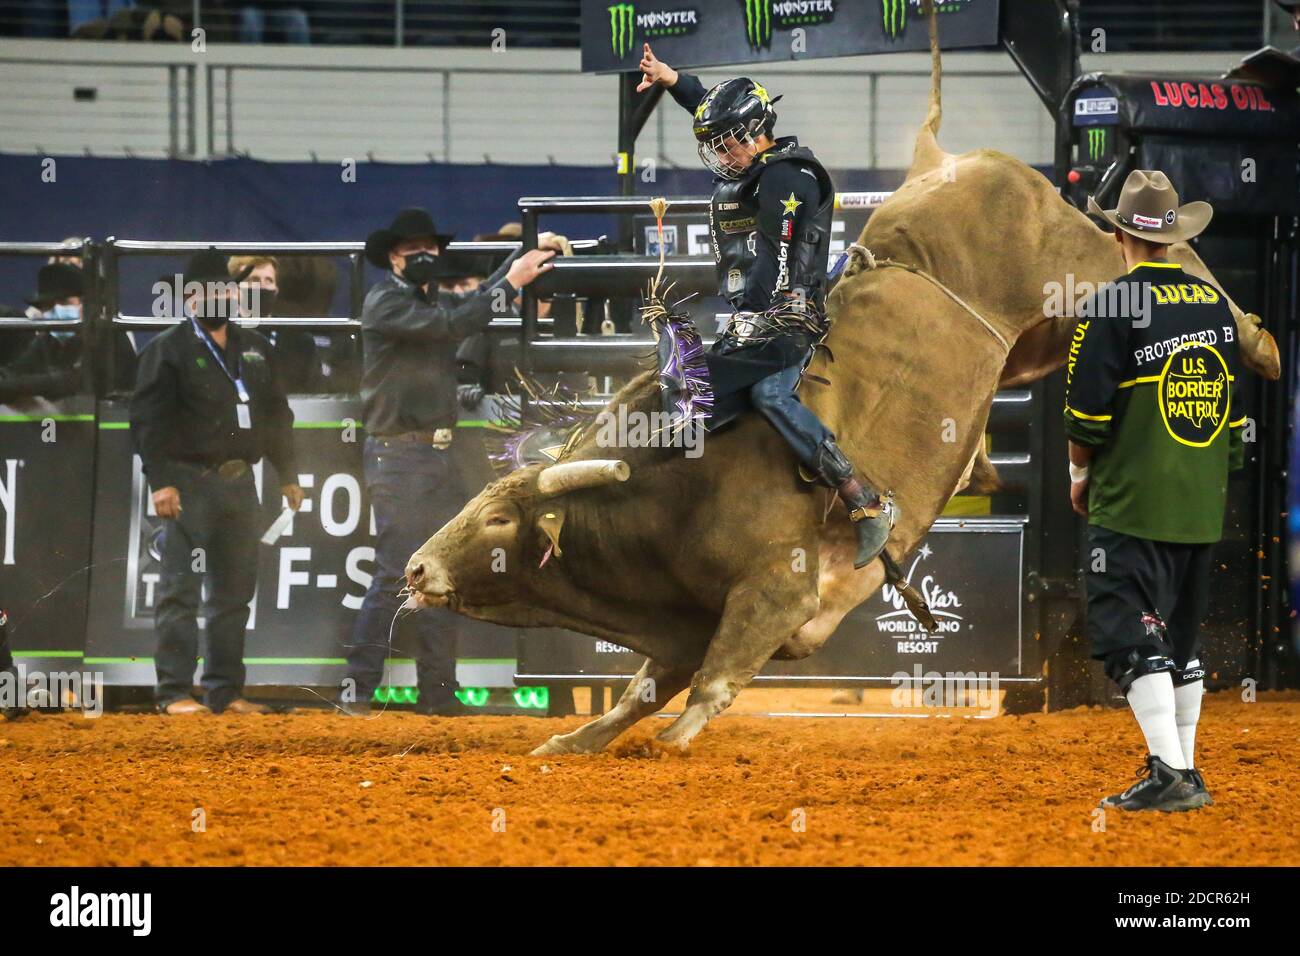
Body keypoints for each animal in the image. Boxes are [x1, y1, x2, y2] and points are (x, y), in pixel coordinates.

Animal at [404, 8, 1279, 756]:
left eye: (497, 523)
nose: (413, 569)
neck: (666, 485)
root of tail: (945, 160)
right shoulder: (680, 621)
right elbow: (640, 690)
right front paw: (570, 741)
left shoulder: (774, 594)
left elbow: (712, 681)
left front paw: (673, 743)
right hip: (1040, 342)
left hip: (1078, 271)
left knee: (1158, 257)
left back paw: (1263, 342)